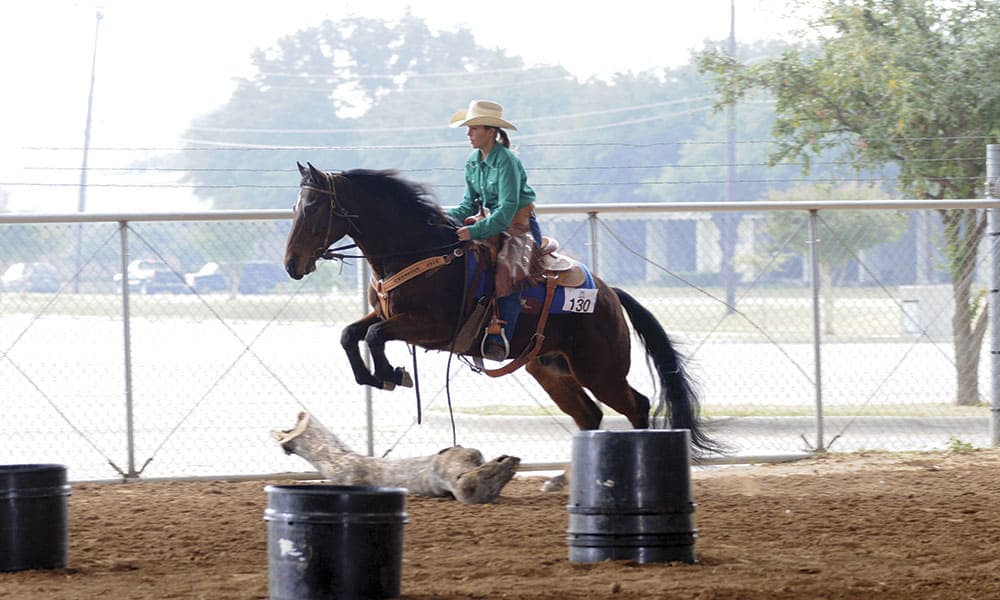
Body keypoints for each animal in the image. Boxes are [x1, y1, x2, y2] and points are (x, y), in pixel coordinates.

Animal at [283, 162, 718, 456]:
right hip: (552, 370)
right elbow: (351, 334)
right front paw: (377, 376)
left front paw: (391, 374)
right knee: (589, 417)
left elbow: (373, 336)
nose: (291, 263)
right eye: (295, 206)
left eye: (313, 207)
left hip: (600, 370)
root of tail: (610, 295)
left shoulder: (430, 327)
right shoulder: (389, 315)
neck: (422, 251)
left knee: (637, 406)